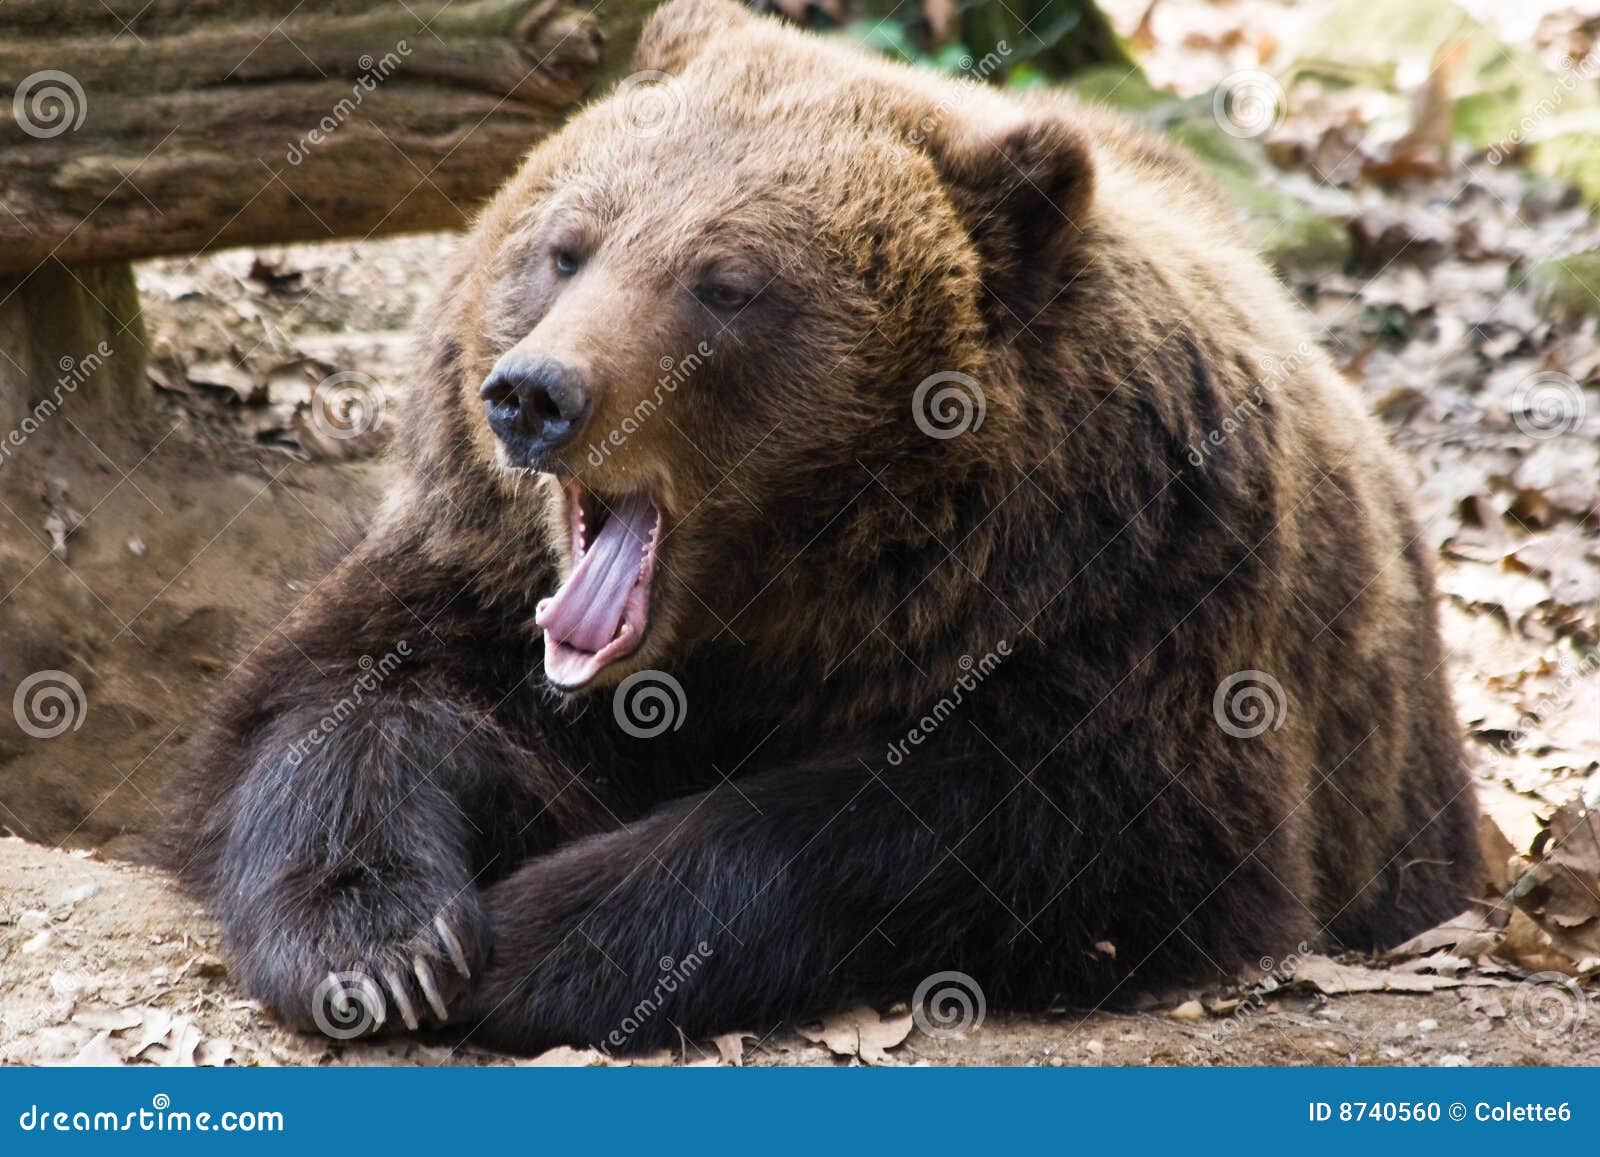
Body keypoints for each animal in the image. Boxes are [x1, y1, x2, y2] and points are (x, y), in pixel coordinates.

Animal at [163, 0, 1480, 1054]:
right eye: (566, 246)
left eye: (726, 282)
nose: (534, 395)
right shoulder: (477, 582)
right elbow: (333, 704)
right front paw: (385, 941)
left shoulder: (1139, 604)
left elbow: (1039, 830)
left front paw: (544, 938)